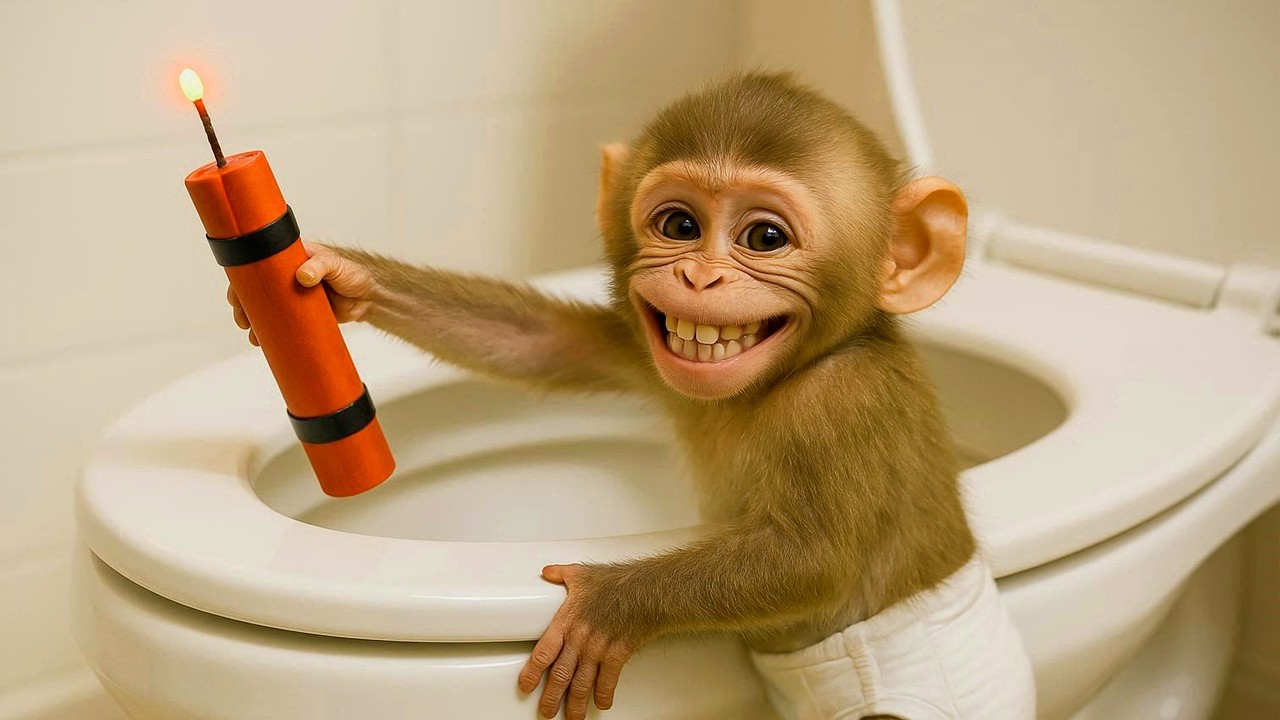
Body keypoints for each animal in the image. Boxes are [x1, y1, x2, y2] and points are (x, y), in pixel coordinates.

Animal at [229, 73, 1035, 720]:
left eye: (765, 238)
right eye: (679, 224)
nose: (699, 278)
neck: (772, 383)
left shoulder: (844, 400)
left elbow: (816, 558)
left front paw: (608, 605)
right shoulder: (644, 351)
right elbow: (543, 342)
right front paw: (340, 280)